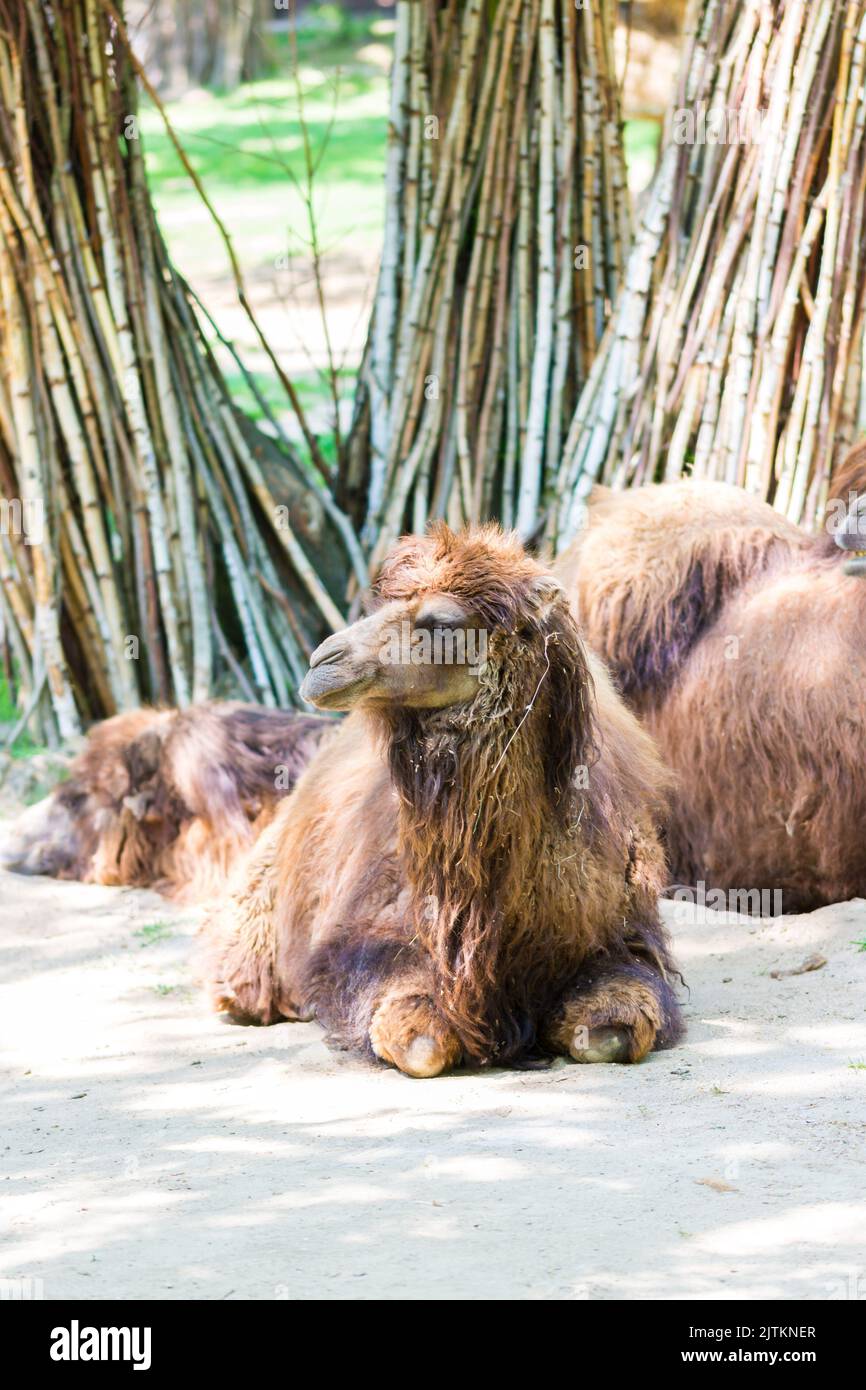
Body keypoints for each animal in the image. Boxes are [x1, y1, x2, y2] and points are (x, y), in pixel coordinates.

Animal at [203, 523, 683, 1076]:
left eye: (440, 624)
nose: (322, 661)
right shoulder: (364, 941)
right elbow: (422, 1044)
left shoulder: (623, 932)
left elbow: (610, 1033)